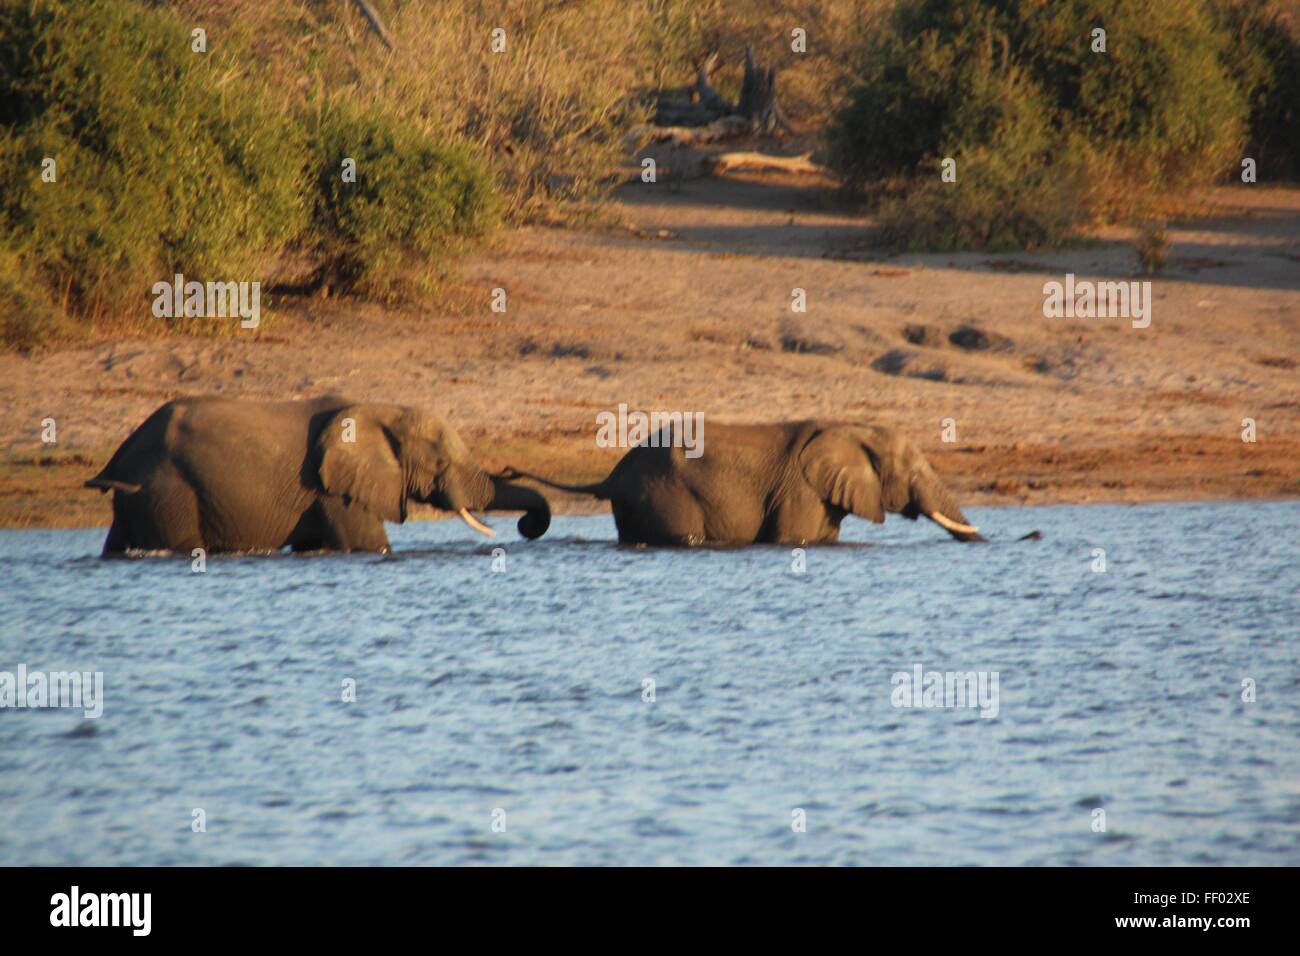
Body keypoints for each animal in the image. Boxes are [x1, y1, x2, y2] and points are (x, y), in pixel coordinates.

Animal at [86, 396, 551, 555]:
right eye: (440, 465)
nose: (527, 526)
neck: (380, 409)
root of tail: (120, 456)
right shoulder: (332, 490)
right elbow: (369, 544)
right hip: (170, 489)